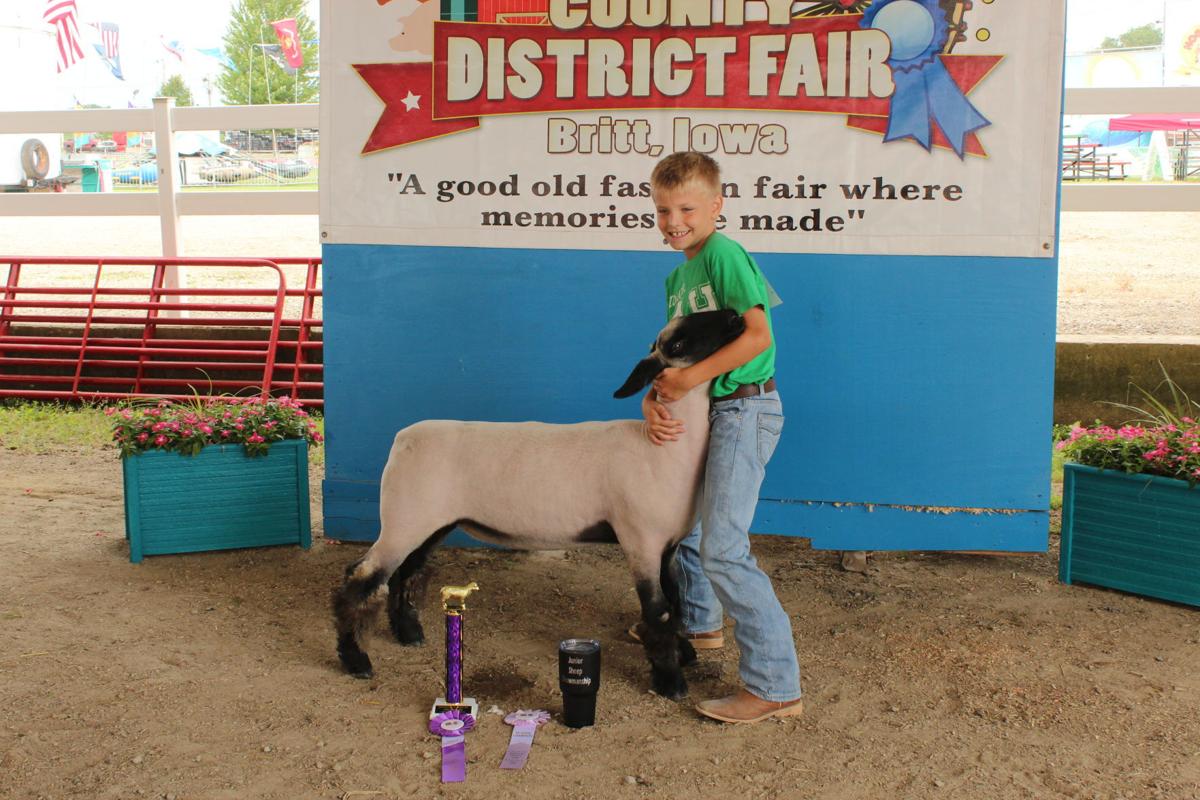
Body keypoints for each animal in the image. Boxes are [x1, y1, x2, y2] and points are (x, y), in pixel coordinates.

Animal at [331, 308, 747, 700]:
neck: (661, 448)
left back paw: (409, 633)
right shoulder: (640, 541)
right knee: (360, 578)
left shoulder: (667, 546)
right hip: (403, 519)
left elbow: (676, 602)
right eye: (676, 343)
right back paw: (356, 660)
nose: (734, 316)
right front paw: (671, 681)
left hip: (431, 522)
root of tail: (402, 439)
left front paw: (684, 655)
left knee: (406, 571)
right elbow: (659, 611)